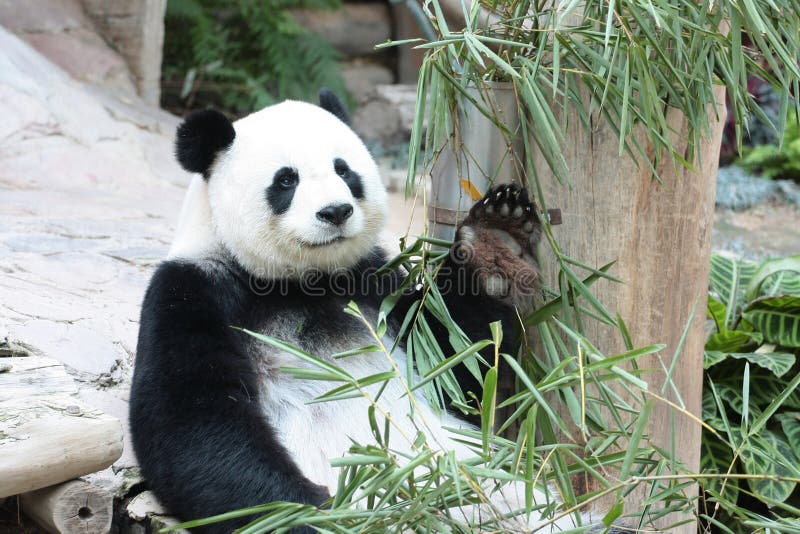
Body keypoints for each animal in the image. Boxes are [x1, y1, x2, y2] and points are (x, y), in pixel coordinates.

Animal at [130, 90, 611, 533]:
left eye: (344, 170)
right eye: (286, 181)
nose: (336, 211)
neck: (304, 281)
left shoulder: (377, 287)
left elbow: (460, 369)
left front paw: (495, 244)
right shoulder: (197, 291)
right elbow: (193, 424)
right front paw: (318, 514)